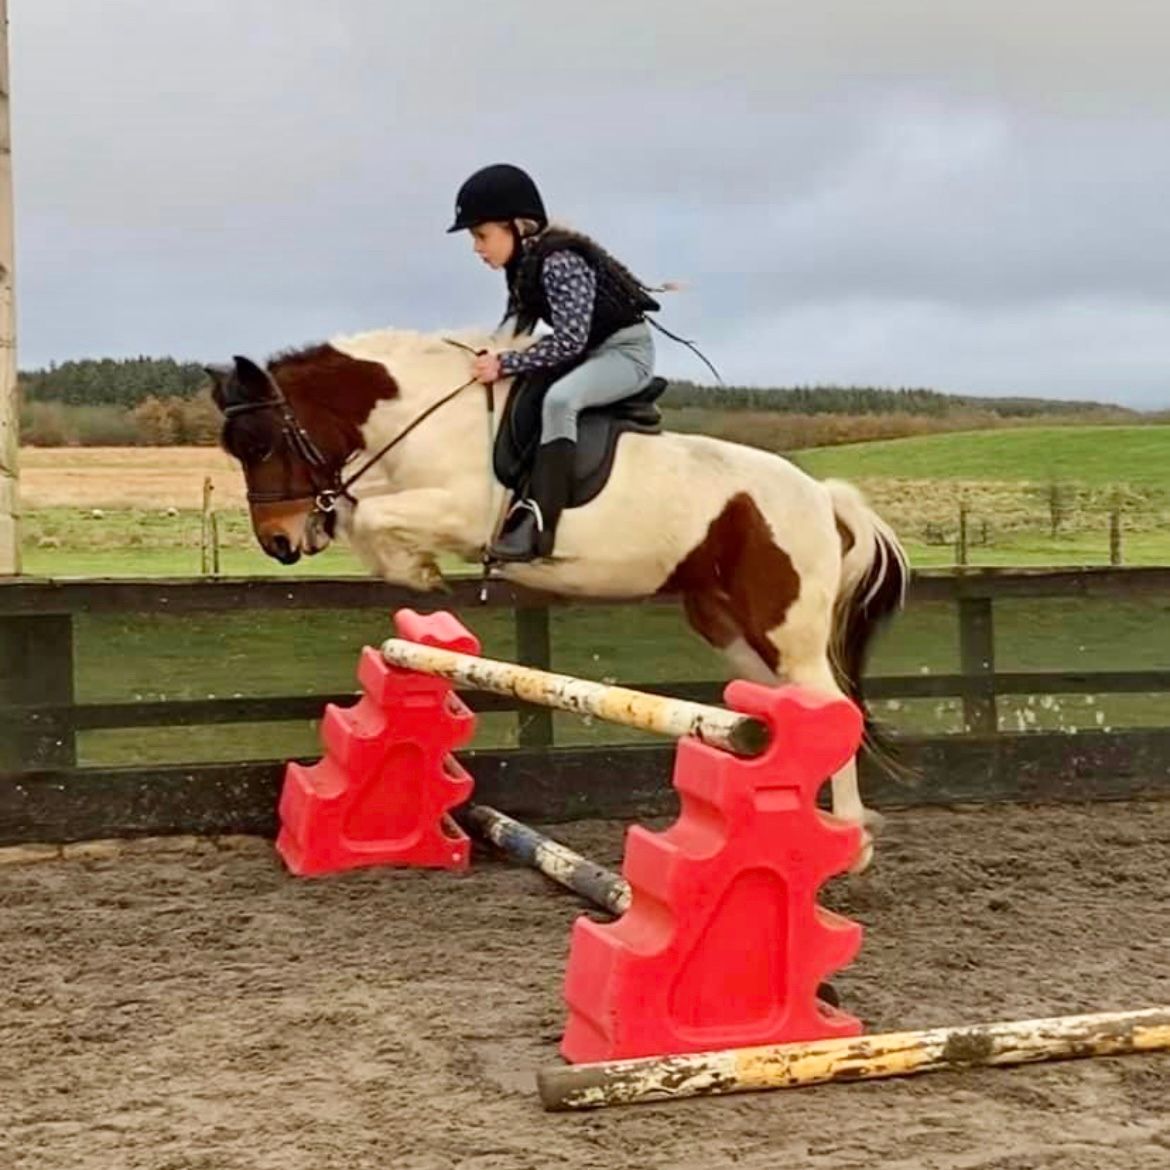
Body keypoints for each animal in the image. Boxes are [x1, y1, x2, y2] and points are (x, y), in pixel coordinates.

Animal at [207, 325, 909, 870]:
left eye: (263, 442)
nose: (279, 542)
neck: (428, 413)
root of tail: (820, 495)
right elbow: (360, 514)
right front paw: (404, 565)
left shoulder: (461, 512)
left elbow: (376, 518)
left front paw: (421, 570)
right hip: (729, 627)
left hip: (785, 631)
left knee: (834, 710)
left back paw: (851, 843)